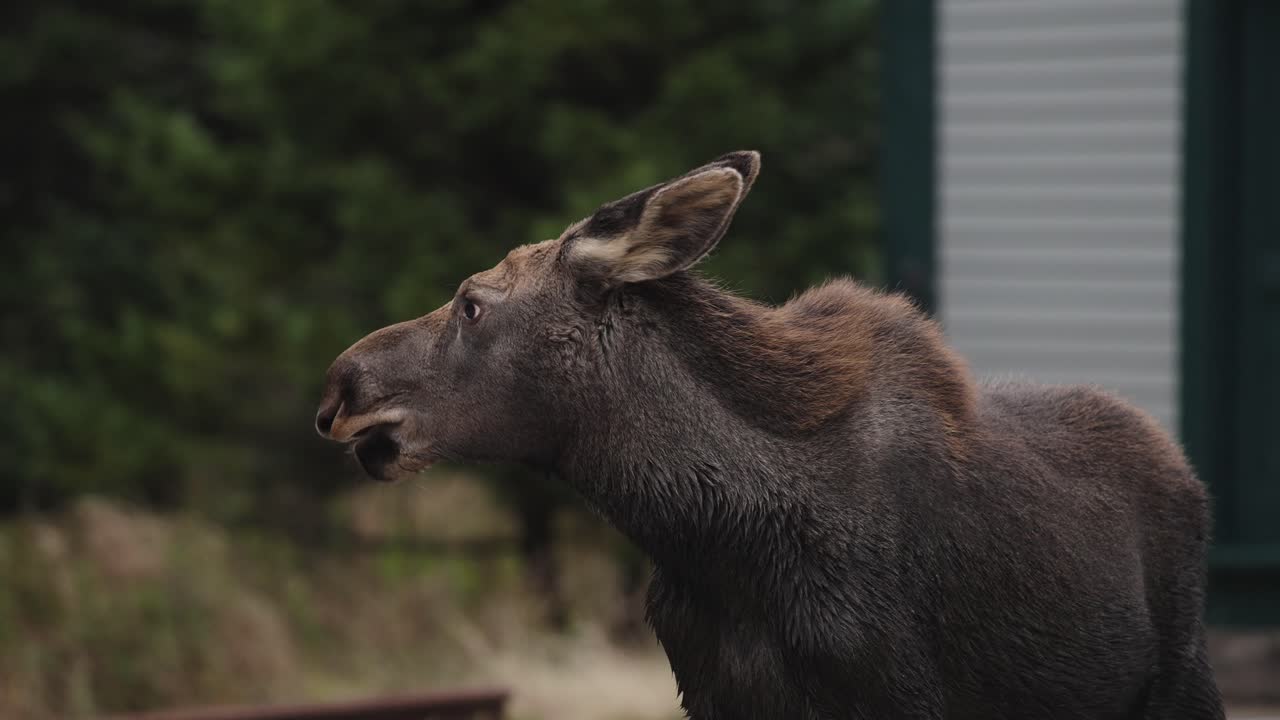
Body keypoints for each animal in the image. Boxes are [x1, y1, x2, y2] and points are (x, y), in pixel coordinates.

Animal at [315, 152, 1224, 719]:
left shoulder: (898, 697)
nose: (339, 387)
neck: (717, 537)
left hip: (1183, 682)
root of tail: (1186, 473)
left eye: (472, 303)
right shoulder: (713, 693)